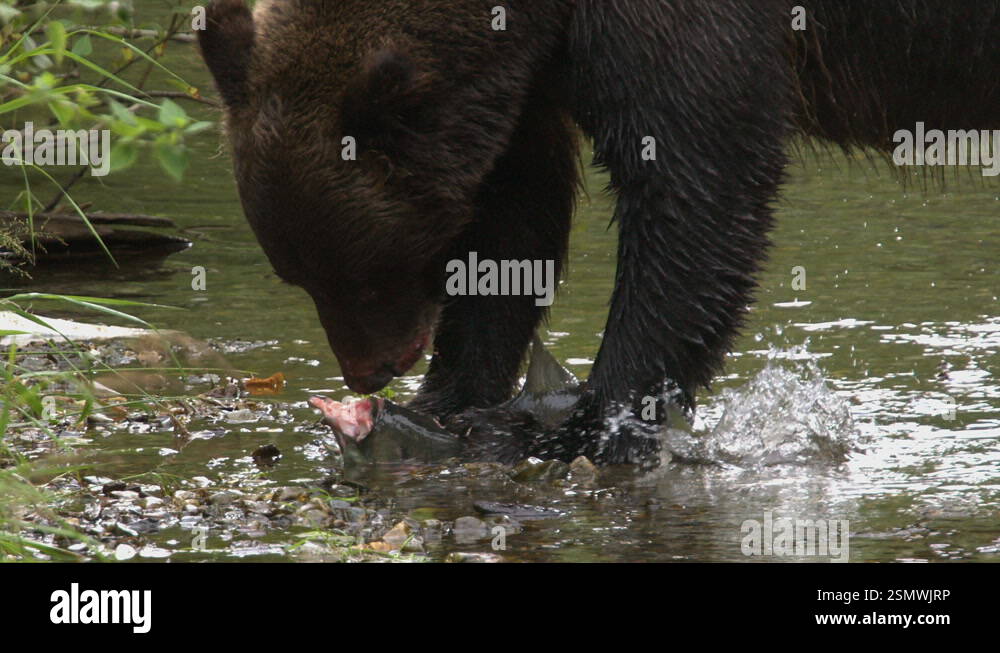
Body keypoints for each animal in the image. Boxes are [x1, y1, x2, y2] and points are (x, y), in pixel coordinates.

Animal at [198, 0, 1000, 465]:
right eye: (299, 272)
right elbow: (514, 218)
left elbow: (693, 177)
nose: (368, 374)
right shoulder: (518, 79)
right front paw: (451, 398)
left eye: (365, 274)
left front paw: (583, 421)